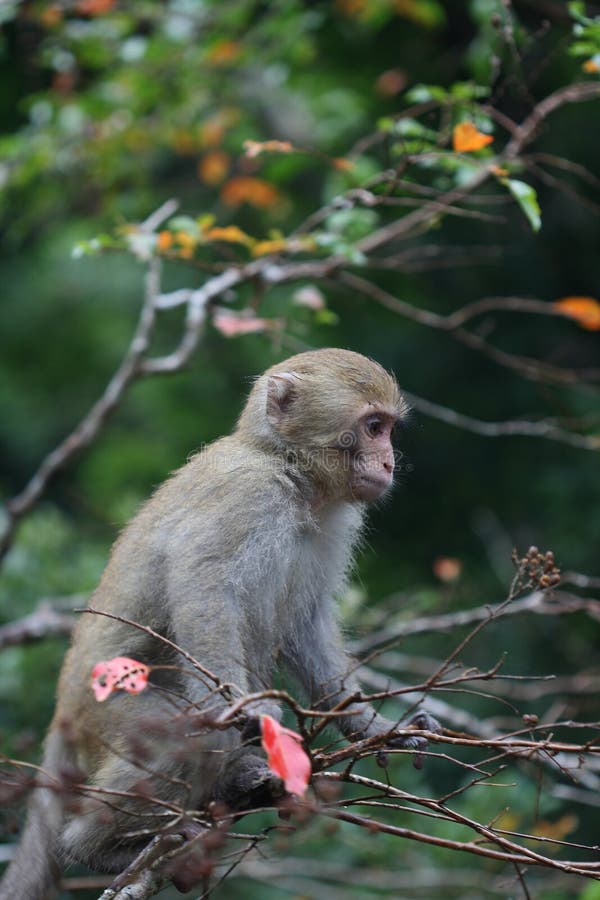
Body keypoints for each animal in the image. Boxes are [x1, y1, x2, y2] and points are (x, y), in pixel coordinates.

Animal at [0, 348, 440, 899]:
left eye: (389, 430)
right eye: (373, 427)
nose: (388, 462)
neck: (290, 472)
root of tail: (64, 709)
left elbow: (306, 626)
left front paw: (372, 725)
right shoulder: (246, 494)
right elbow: (203, 583)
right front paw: (242, 704)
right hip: (103, 711)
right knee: (189, 734)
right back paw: (95, 847)